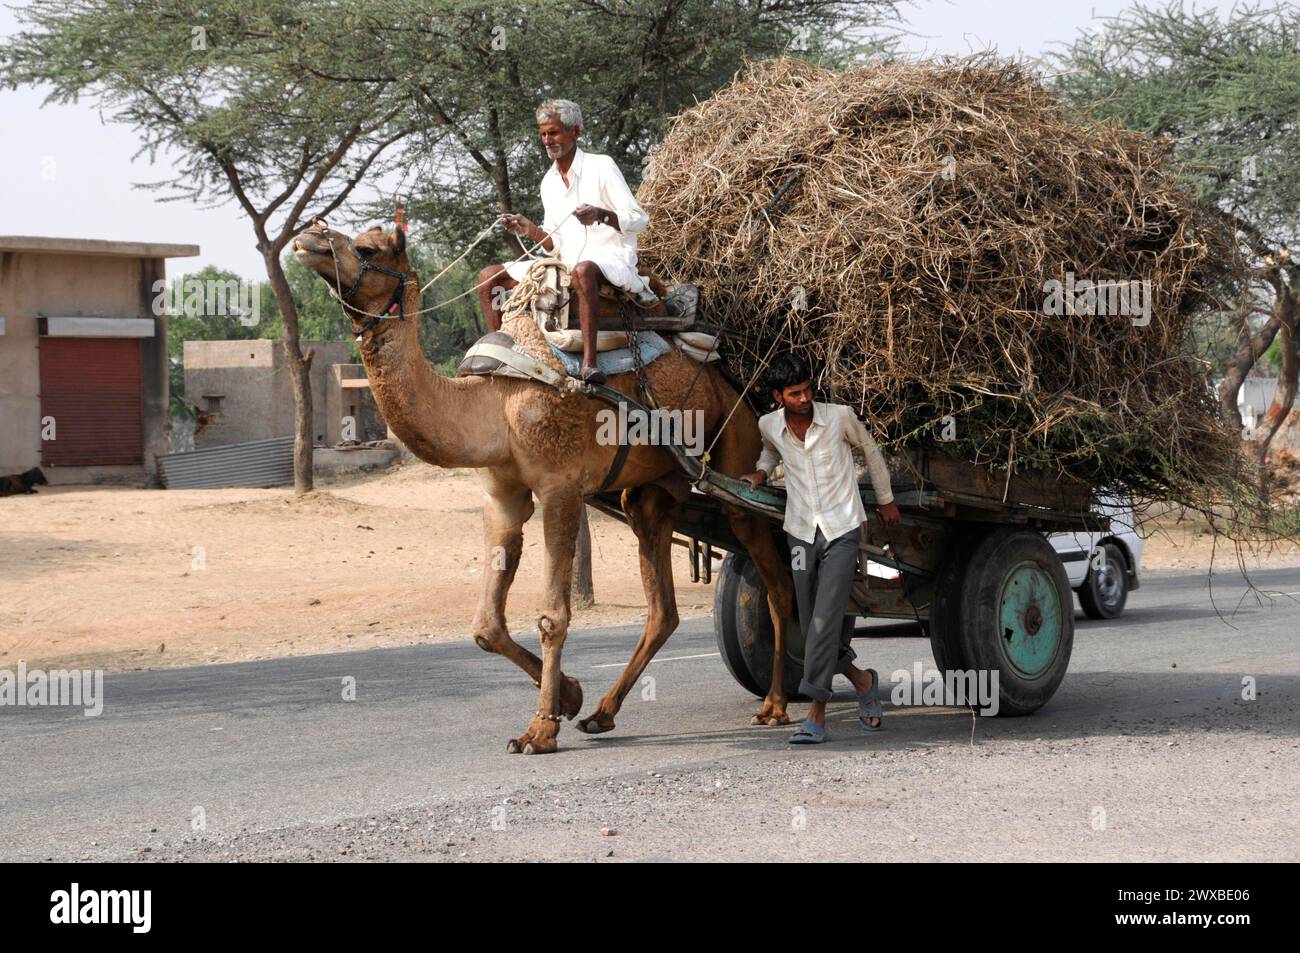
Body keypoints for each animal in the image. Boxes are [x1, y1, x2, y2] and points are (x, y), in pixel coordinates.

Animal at [292, 221, 795, 753]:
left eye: (367, 247)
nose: (307, 239)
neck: (495, 398)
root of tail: (729, 380)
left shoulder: (560, 487)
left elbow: (553, 615)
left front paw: (539, 728)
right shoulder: (502, 496)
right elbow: (485, 626)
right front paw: (570, 696)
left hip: (738, 447)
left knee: (775, 581)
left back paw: (776, 704)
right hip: (654, 489)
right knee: (664, 607)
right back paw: (601, 714)